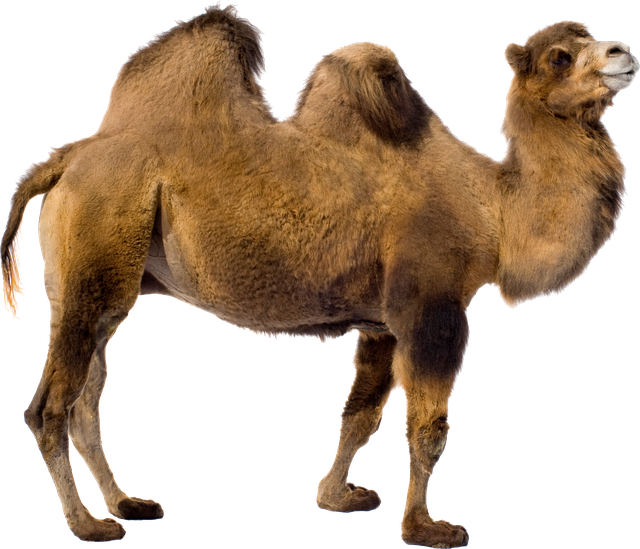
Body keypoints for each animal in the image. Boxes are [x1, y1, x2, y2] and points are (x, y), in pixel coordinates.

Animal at [1, 3, 637, 546]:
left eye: (588, 40)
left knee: (87, 396)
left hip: (106, 276)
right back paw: (89, 525)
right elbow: (428, 426)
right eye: (560, 56)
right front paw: (424, 527)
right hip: (100, 234)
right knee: (50, 406)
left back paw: (127, 504)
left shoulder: (381, 320)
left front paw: (338, 496)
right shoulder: (431, 304)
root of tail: (61, 162)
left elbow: (360, 414)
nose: (622, 51)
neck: (493, 211)